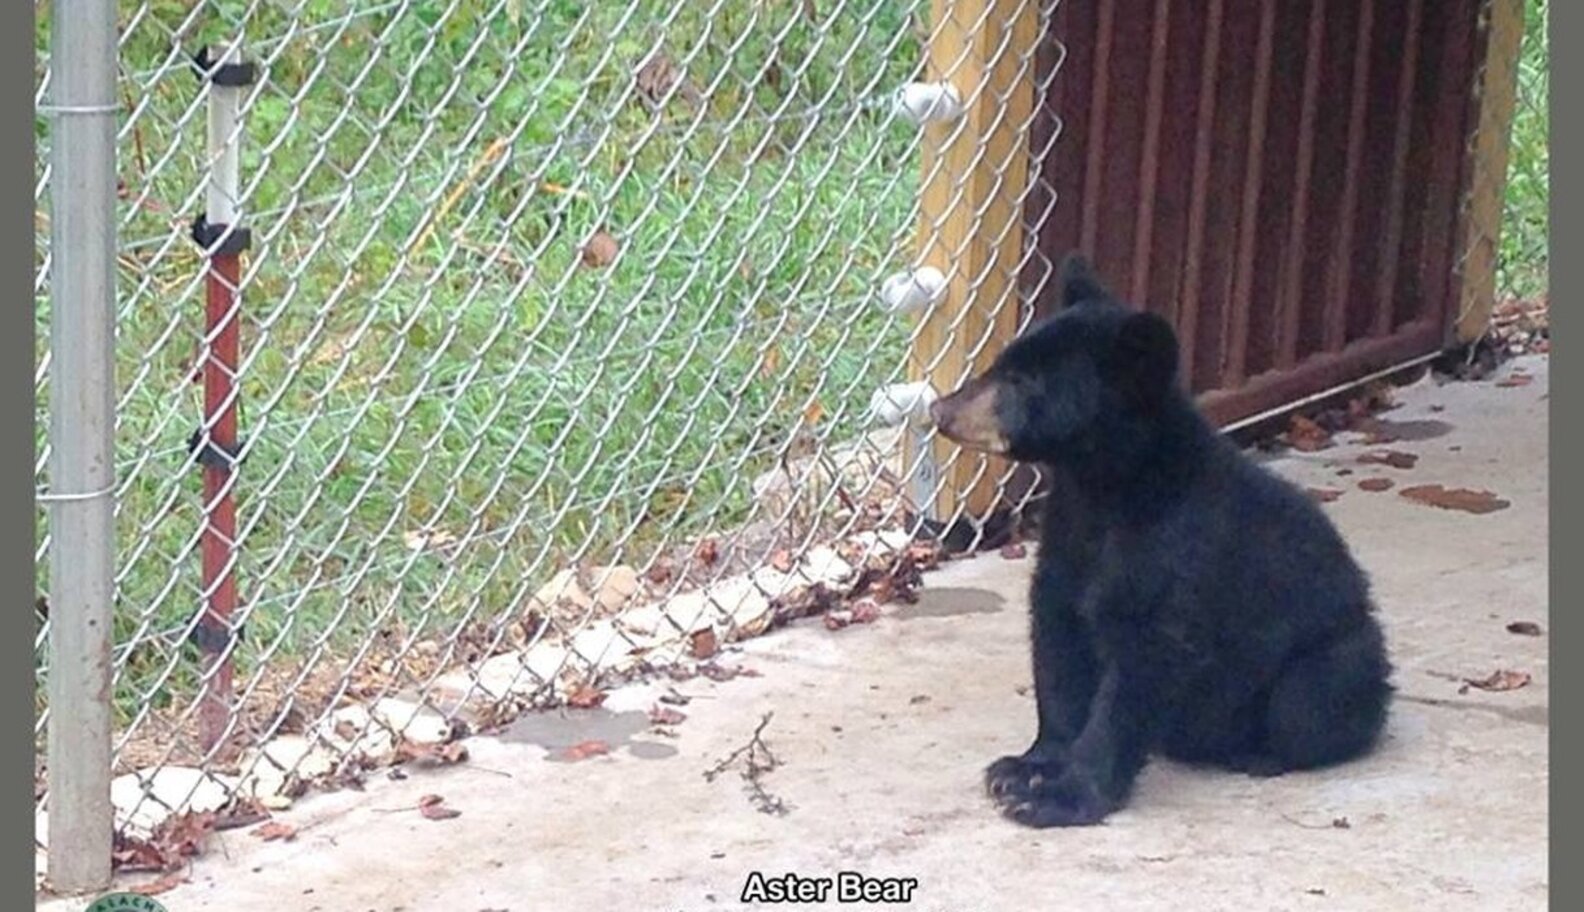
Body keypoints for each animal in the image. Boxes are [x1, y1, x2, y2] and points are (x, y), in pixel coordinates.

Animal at [928, 253, 1393, 828]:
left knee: (1312, 704)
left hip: (1335, 656)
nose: (940, 411)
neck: (1107, 487)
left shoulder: (1175, 553)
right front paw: (1024, 766)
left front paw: (1060, 795)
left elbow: (1140, 669)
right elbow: (1057, 643)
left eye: (1025, 381)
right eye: (1002, 361)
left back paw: (1257, 752)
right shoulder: (1067, 540)